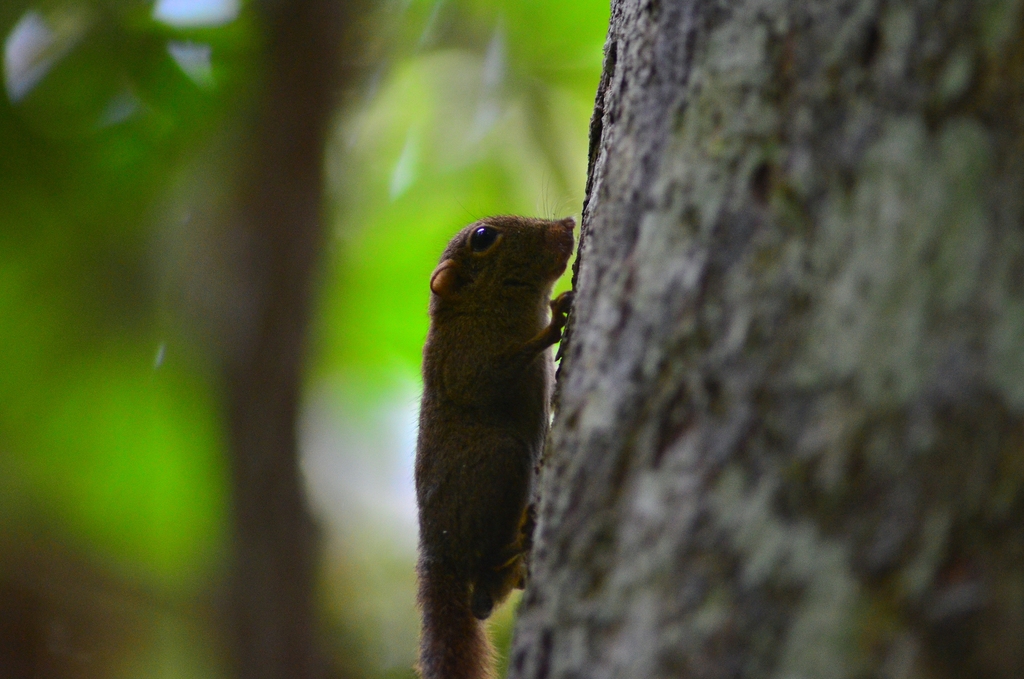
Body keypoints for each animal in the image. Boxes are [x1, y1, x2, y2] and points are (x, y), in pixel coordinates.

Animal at [414, 215, 576, 679]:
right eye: (484, 237)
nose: (567, 224)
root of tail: (438, 553)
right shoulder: (463, 361)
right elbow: (496, 373)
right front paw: (555, 320)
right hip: (503, 461)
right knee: (482, 577)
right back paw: (522, 538)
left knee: (484, 600)